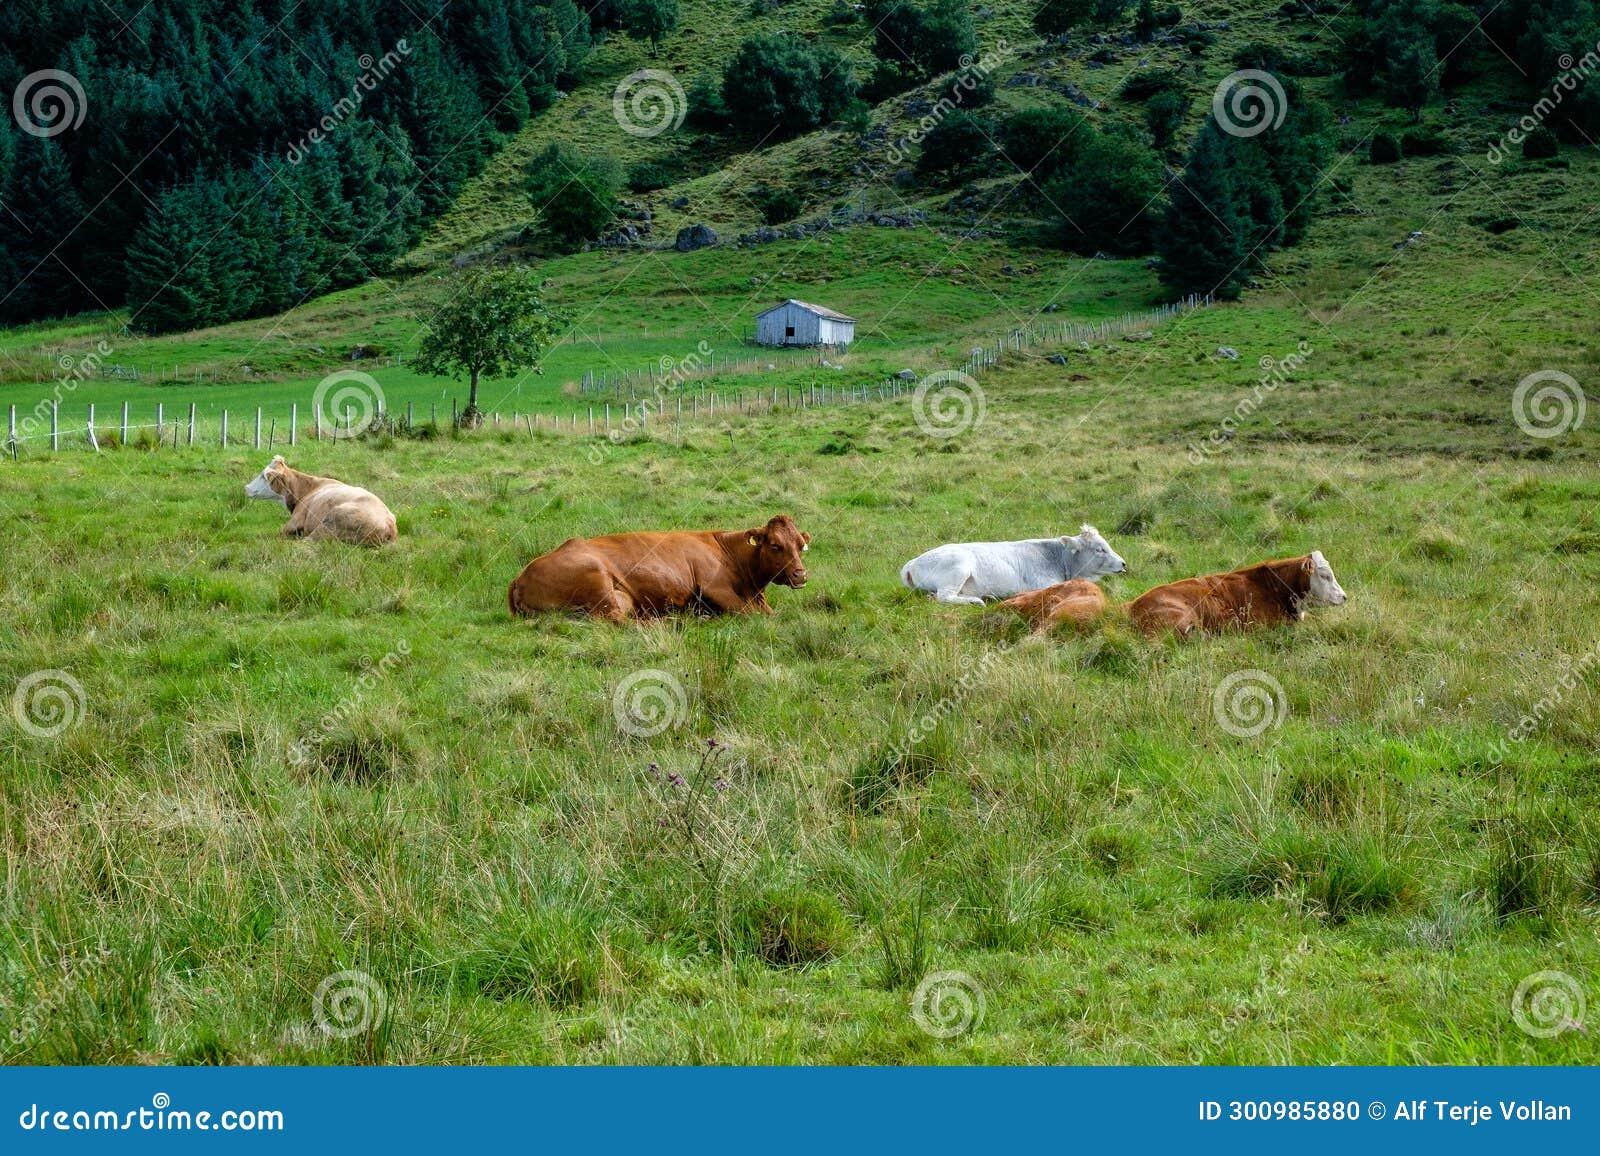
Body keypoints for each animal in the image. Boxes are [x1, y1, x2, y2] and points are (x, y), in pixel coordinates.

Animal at [508, 514, 811, 621]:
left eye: (801, 545)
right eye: (775, 545)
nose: (801, 574)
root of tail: (519, 576)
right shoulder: (714, 588)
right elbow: (751, 613)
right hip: (596, 577)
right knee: (617, 620)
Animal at [900, 525, 1126, 605]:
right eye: (1099, 549)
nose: (1123, 563)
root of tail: (911, 563)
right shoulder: (1043, 584)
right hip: (957, 568)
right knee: (944, 597)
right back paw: (976, 601)